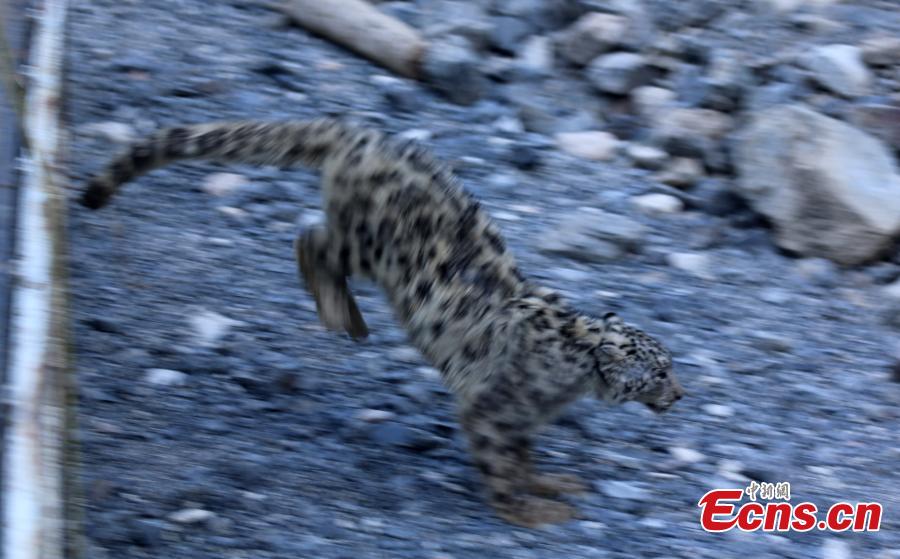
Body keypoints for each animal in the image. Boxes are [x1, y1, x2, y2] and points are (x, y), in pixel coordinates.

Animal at [80, 118, 685, 527]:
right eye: (658, 372)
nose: (680, 395)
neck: (569, 382)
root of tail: (363, 135)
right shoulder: (492, 408)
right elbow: (499, 462)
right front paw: (526, 510)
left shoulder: (521, 420)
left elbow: (522, 457)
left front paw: (550, 483)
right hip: (366, 244)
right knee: (310, 240)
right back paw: (345, 317)